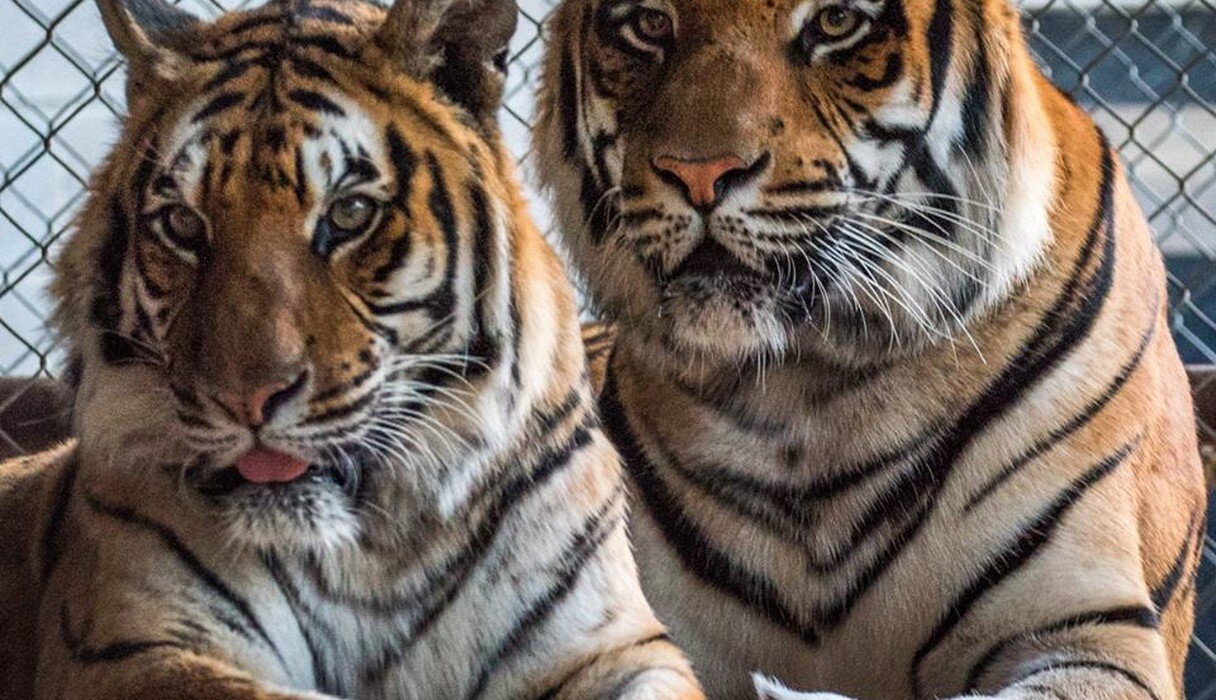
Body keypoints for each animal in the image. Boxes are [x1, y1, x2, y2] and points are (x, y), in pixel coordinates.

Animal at [0, 0, 708, 698]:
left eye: (349, 214)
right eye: (182, 225)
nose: (245, 400)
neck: (377, 555)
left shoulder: (611, 646)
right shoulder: (134, 648)